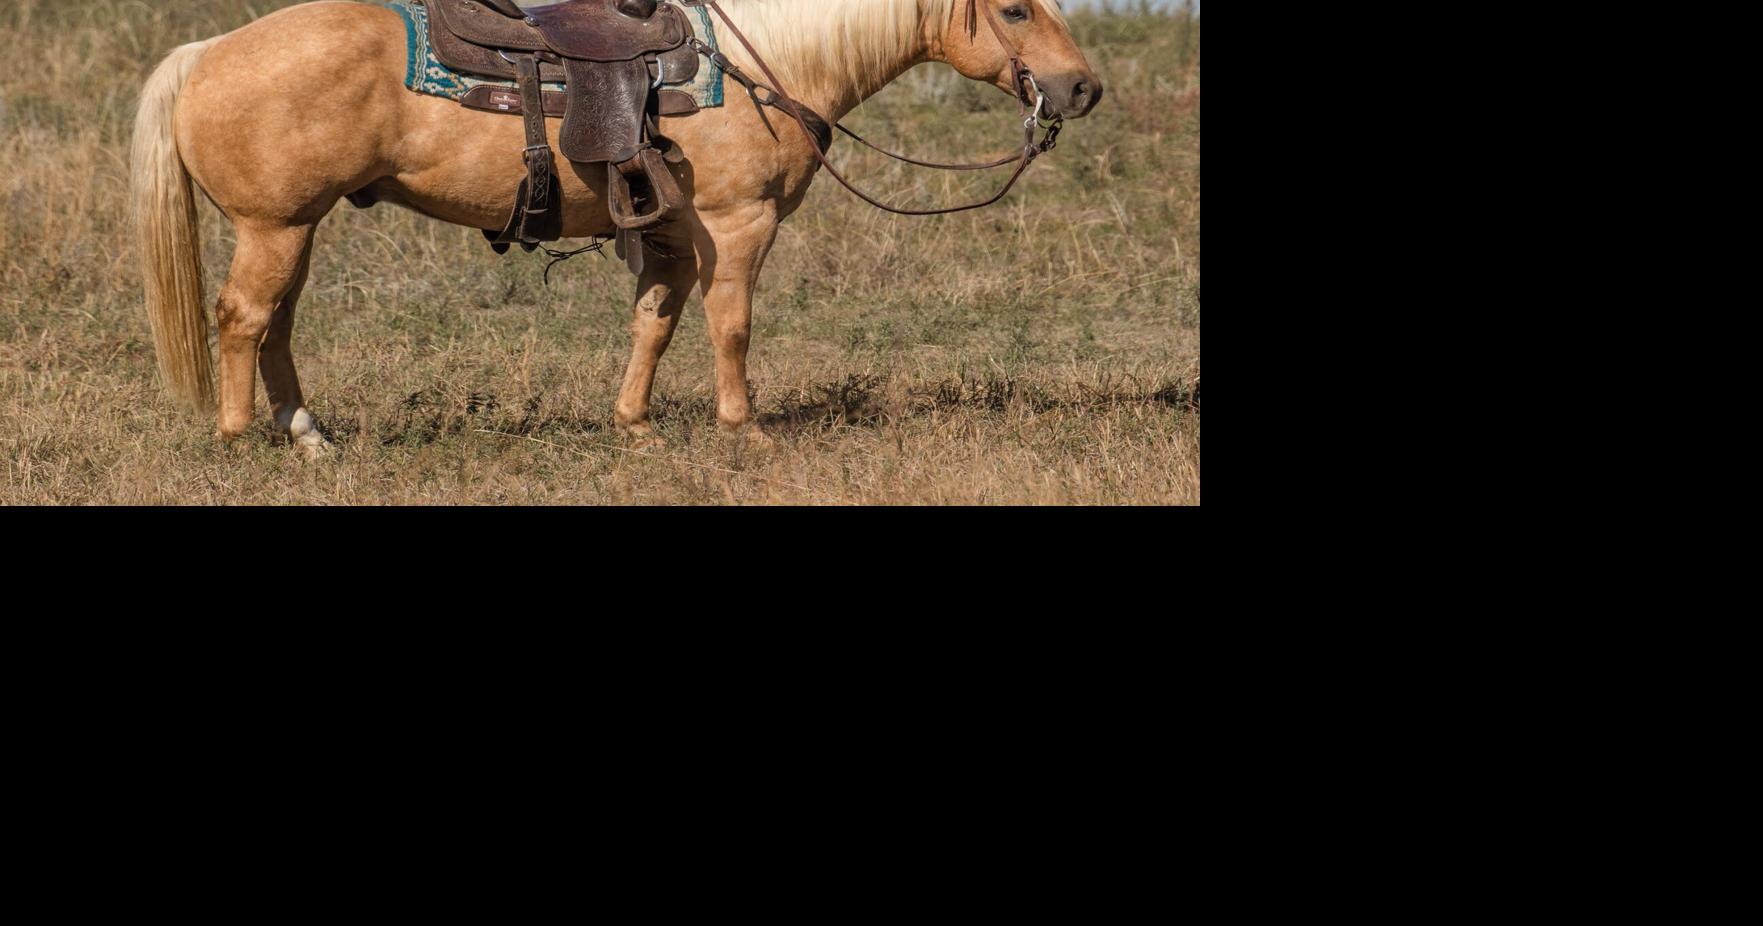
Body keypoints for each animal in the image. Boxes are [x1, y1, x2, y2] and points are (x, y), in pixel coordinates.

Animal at [131, 0, 1103, 456]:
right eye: (1015, 10)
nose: (1082, 87)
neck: (760, 66)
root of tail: (206, 53)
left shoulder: (672, 233)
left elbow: (654, 323)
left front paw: (633, 425)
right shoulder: (735, 224)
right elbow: (730, 326)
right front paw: (742, 428)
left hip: (297, 225)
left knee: (277, 326)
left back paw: (308, 435)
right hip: (275, 225)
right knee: (244, 321)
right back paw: (239, 437)